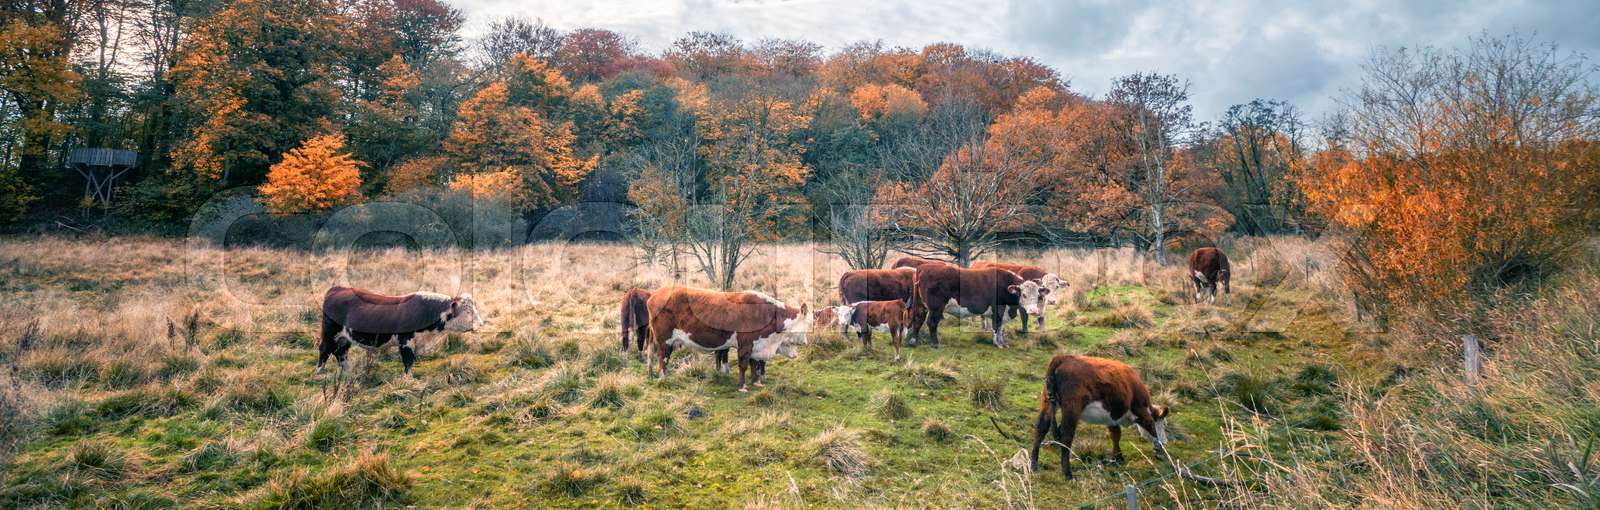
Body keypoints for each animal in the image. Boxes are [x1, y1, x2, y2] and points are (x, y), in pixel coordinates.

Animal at [317, 286, 483, 379]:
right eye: (468, 311)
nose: (481, 323)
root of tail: (337, 288)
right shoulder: (406, 341)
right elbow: (408, 361)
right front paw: (408, 379)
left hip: (344, 338)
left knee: (340, 353)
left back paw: (348, 372)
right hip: (330, 333)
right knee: (325, 350)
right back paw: (319, 373)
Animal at [645, 286, 811, 392]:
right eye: (808, 323)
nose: (805, 342)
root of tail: (656, 294)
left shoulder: (756, 345)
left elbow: (754, 364)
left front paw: (756, 382)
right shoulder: (745, 344)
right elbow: (743, 365)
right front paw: (742, 386)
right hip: (664, 341)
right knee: (663, 358)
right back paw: (663, 378)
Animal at [907, 265, 1044, 348]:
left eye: (1038, 295)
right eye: (1024, 295)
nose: (1033, 310)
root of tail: (923, 267)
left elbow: (1001, 328)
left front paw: (1003, 343)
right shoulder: (998, 310)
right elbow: (997, 326)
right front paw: (997, 344)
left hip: (921, 305)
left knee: (918, 319)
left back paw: (913, 341)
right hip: (936, 307)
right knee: (931, 323)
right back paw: (936, 344)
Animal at [1029, 354, 1172, 480]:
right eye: (1164, 424)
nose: (1165, 442)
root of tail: (1063, 357)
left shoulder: (1112, 417)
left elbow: (1115, 435)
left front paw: (1118, 457)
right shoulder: (1141, 409)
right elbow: (1151, 427)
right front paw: (1159, 451)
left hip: (1047, 402)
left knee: (1041, 428)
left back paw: (1033, 467)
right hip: (1072, 408)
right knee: (1066, 437)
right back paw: (1068, 474)